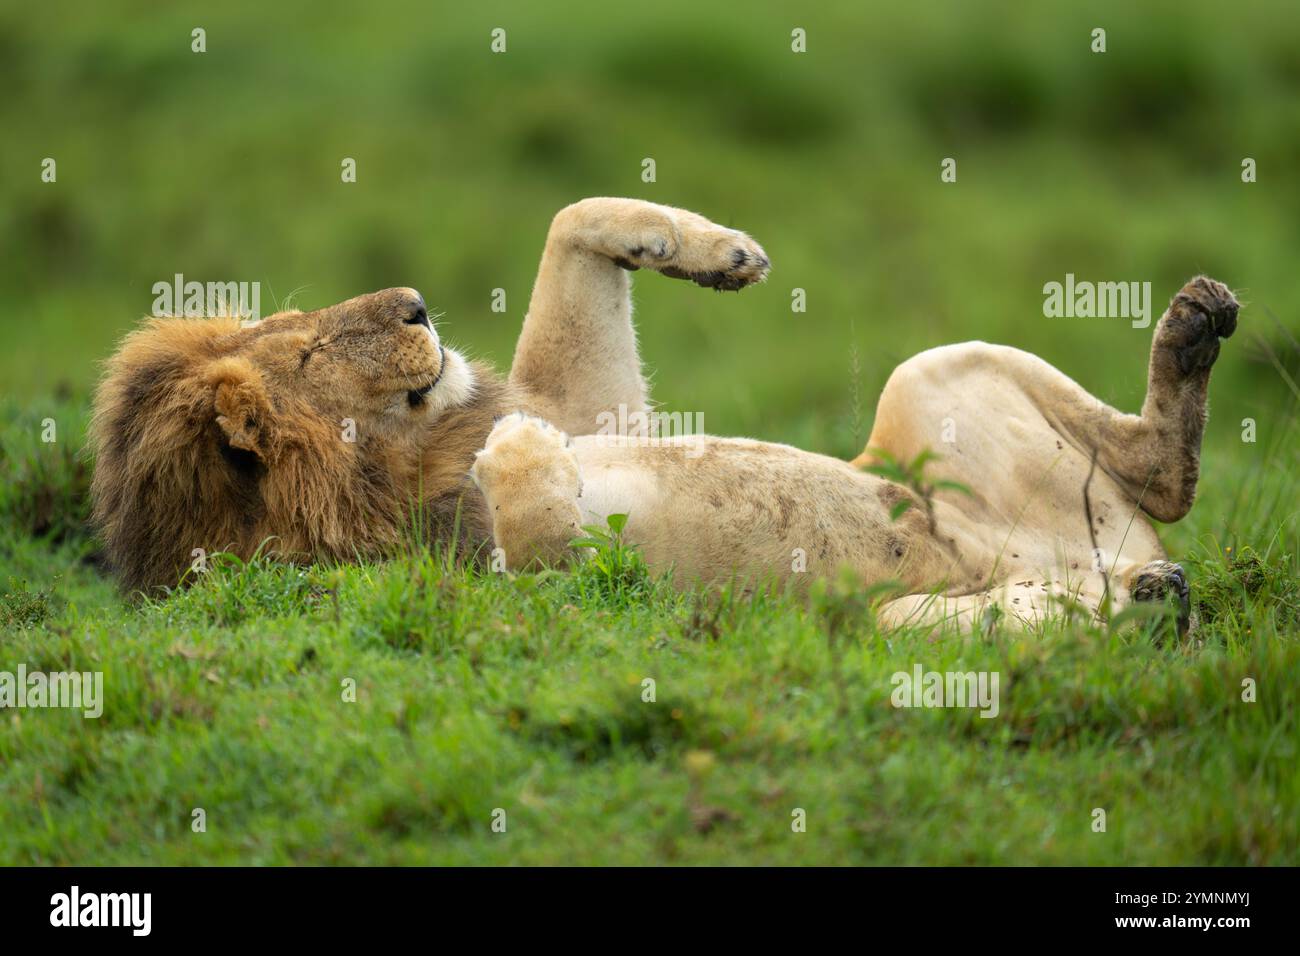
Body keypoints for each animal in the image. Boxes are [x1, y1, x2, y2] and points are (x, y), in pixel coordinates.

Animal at [90, 198, 1238, 633]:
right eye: (309, 350)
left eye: (296, 323)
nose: (416, 305)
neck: (407, 454)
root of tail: (1095, 552)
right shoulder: (543, 603)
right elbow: (535, 533)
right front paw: (517, 459)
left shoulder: (603, 408)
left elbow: (571, 222)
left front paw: (713, 249)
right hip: (902, 619)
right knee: (1112, 590)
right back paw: (1154, 593)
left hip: (933, 374)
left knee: (1161, 472)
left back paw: (1194, 326)